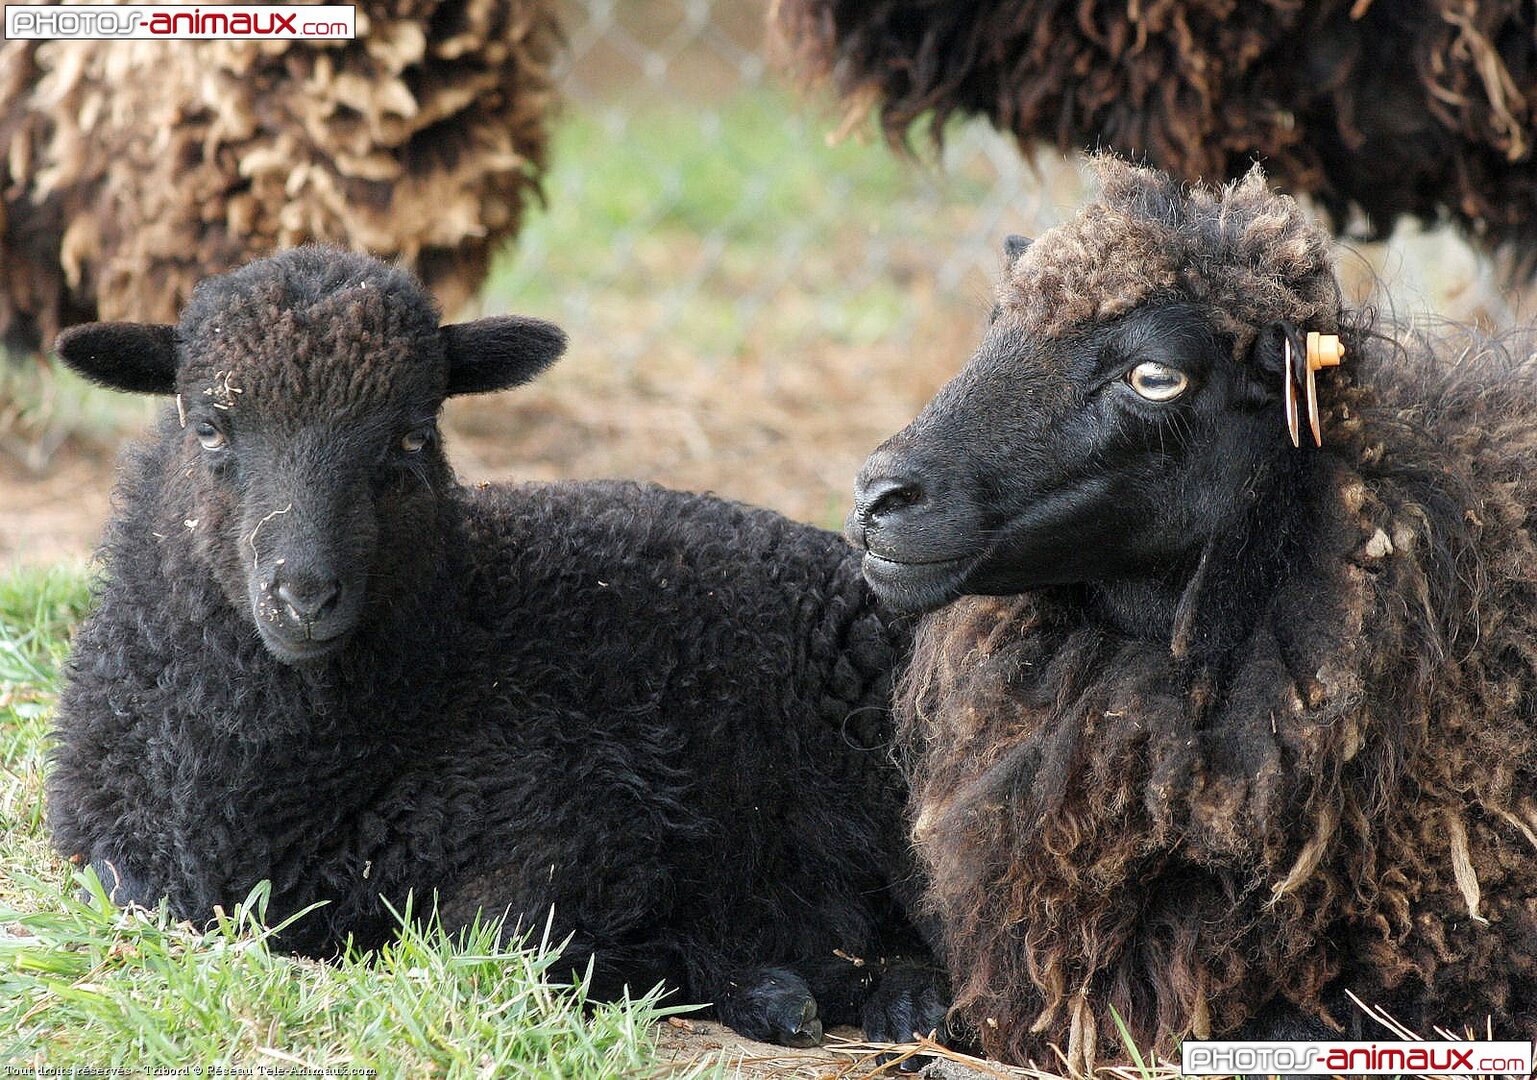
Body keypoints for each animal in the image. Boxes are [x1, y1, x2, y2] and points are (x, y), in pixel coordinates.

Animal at [44, 247, 946, 1044]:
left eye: (412, 436)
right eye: (207, 427)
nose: (305, 594)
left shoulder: (576, 806)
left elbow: (492, 944)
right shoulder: (119, 862)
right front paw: (759, 979)